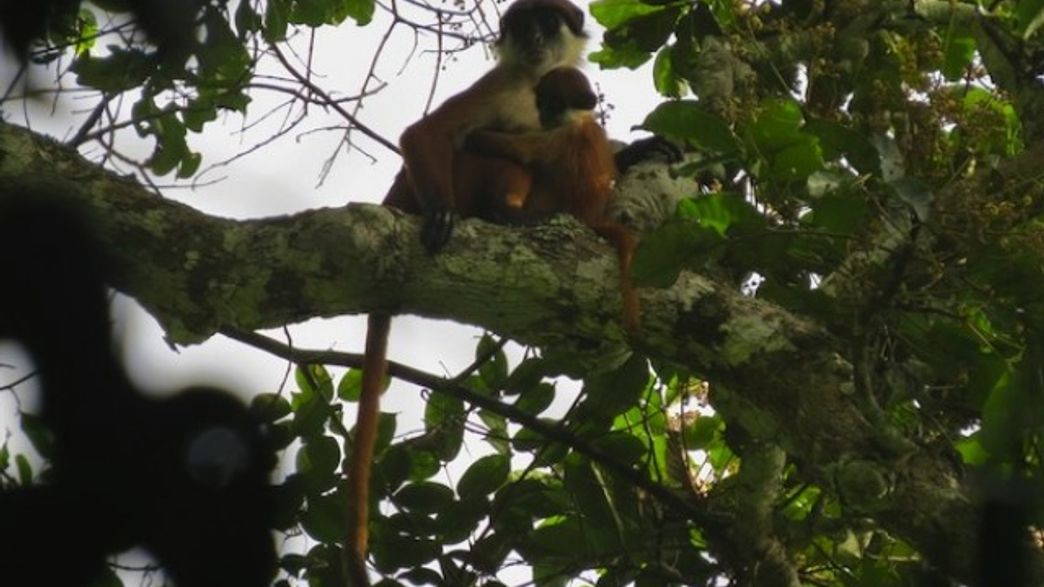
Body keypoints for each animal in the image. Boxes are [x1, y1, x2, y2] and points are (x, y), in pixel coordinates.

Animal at [346, 1, 590, 585]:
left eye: (547, 24)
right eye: (522, 26)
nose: (532, 40)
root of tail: (397, 199)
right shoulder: (501, 83)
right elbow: (425, 133)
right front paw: (444, 215)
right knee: (491, 151)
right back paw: (496, 212)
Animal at [465, 66, 640, 333]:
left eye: (555, 104)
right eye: (542, 103)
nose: (545, 114)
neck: (579, 121)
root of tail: (588, 216)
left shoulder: (563, 135)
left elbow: (519, 151)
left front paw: (471, 137)